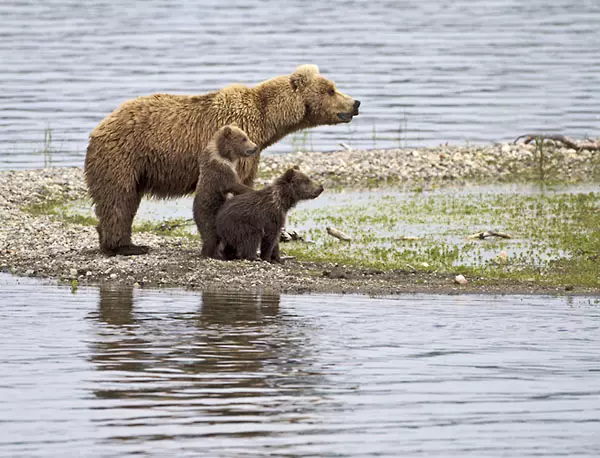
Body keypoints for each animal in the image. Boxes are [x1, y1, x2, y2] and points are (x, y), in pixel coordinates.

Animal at [83, 64, 356, 254]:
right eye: (331, 89)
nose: (356, 103)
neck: (266, 122)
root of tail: (99, 128)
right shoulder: (241, 143)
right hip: (123, 156)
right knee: (119, 199)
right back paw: (125, 247)